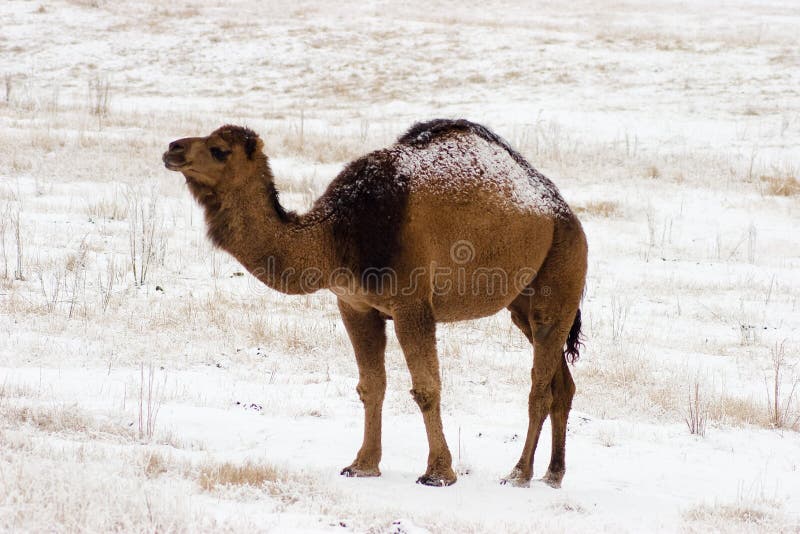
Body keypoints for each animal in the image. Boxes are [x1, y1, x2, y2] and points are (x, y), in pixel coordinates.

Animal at [163, 119, 587, 488]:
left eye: (219, 150)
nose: (172, 149)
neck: (336, 235)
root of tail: (565, 215)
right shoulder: (355, 305)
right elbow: (371, 386)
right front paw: (362, 465)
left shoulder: (412, 304)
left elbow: (426, 387)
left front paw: (438, 473)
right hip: (521, 306)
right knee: (562, 384)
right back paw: (553, 474)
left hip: (559, 279)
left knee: (540, 386)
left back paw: (518, 474)